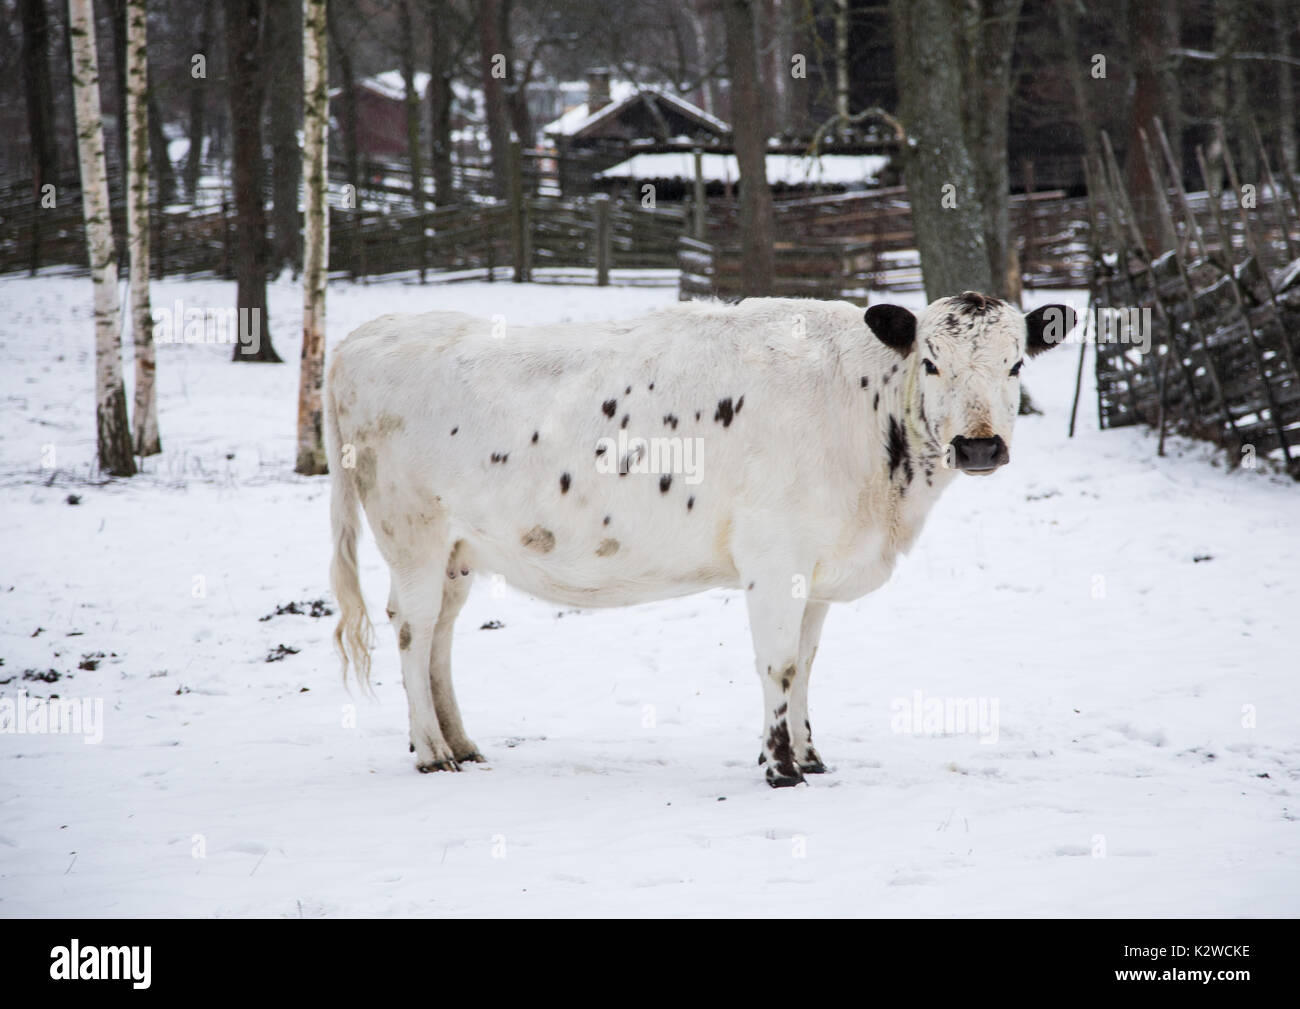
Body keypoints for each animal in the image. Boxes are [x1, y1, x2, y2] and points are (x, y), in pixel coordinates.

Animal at [325, 291, 1073, 787]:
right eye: (934, 362)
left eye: (1015, 365)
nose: (979, 447)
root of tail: (359, 340)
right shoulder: (774, 558)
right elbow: (779, 663)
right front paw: (780, 768)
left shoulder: (816, 570)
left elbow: (807, 662)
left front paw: (809, 755)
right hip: (412, 534)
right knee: (411, 629)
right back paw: (431, 751)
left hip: (458, 551)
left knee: (441, 637)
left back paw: (462, 742)